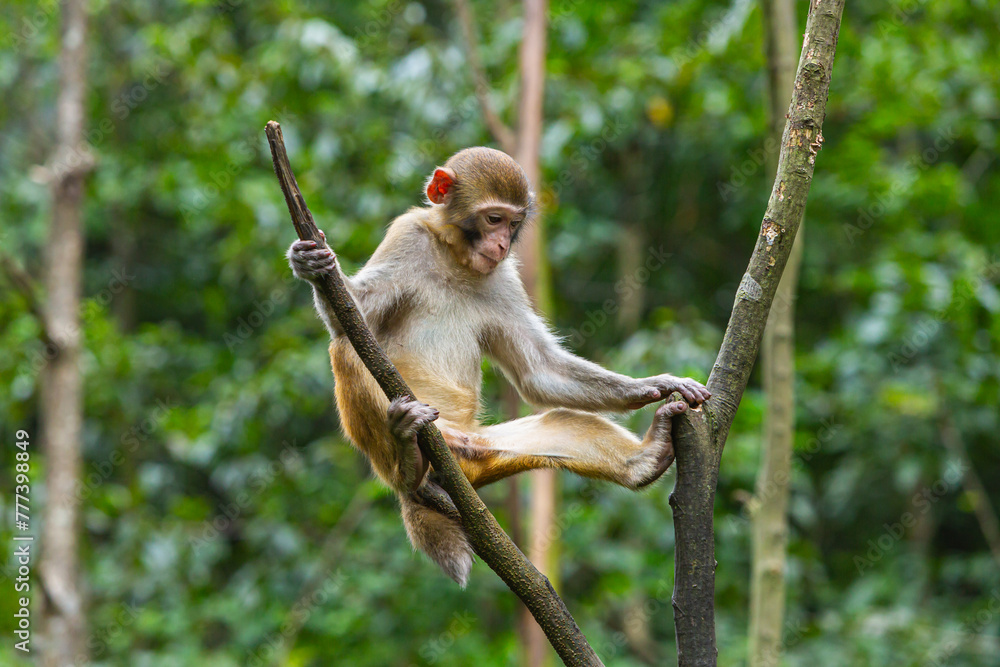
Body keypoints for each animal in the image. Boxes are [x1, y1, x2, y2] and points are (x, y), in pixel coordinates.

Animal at [287, 147, 710, 586]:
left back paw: (645, 459)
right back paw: (406, 458)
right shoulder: (407, 237)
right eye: (493, 218)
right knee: (346, 349)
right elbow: (348, 320)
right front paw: (312, 265)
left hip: (480, 451)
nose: (503, 242)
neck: (453, 256)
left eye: (514, 222)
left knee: (557, 422)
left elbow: (539, 372)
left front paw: (656, 384)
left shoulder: (503, 276)